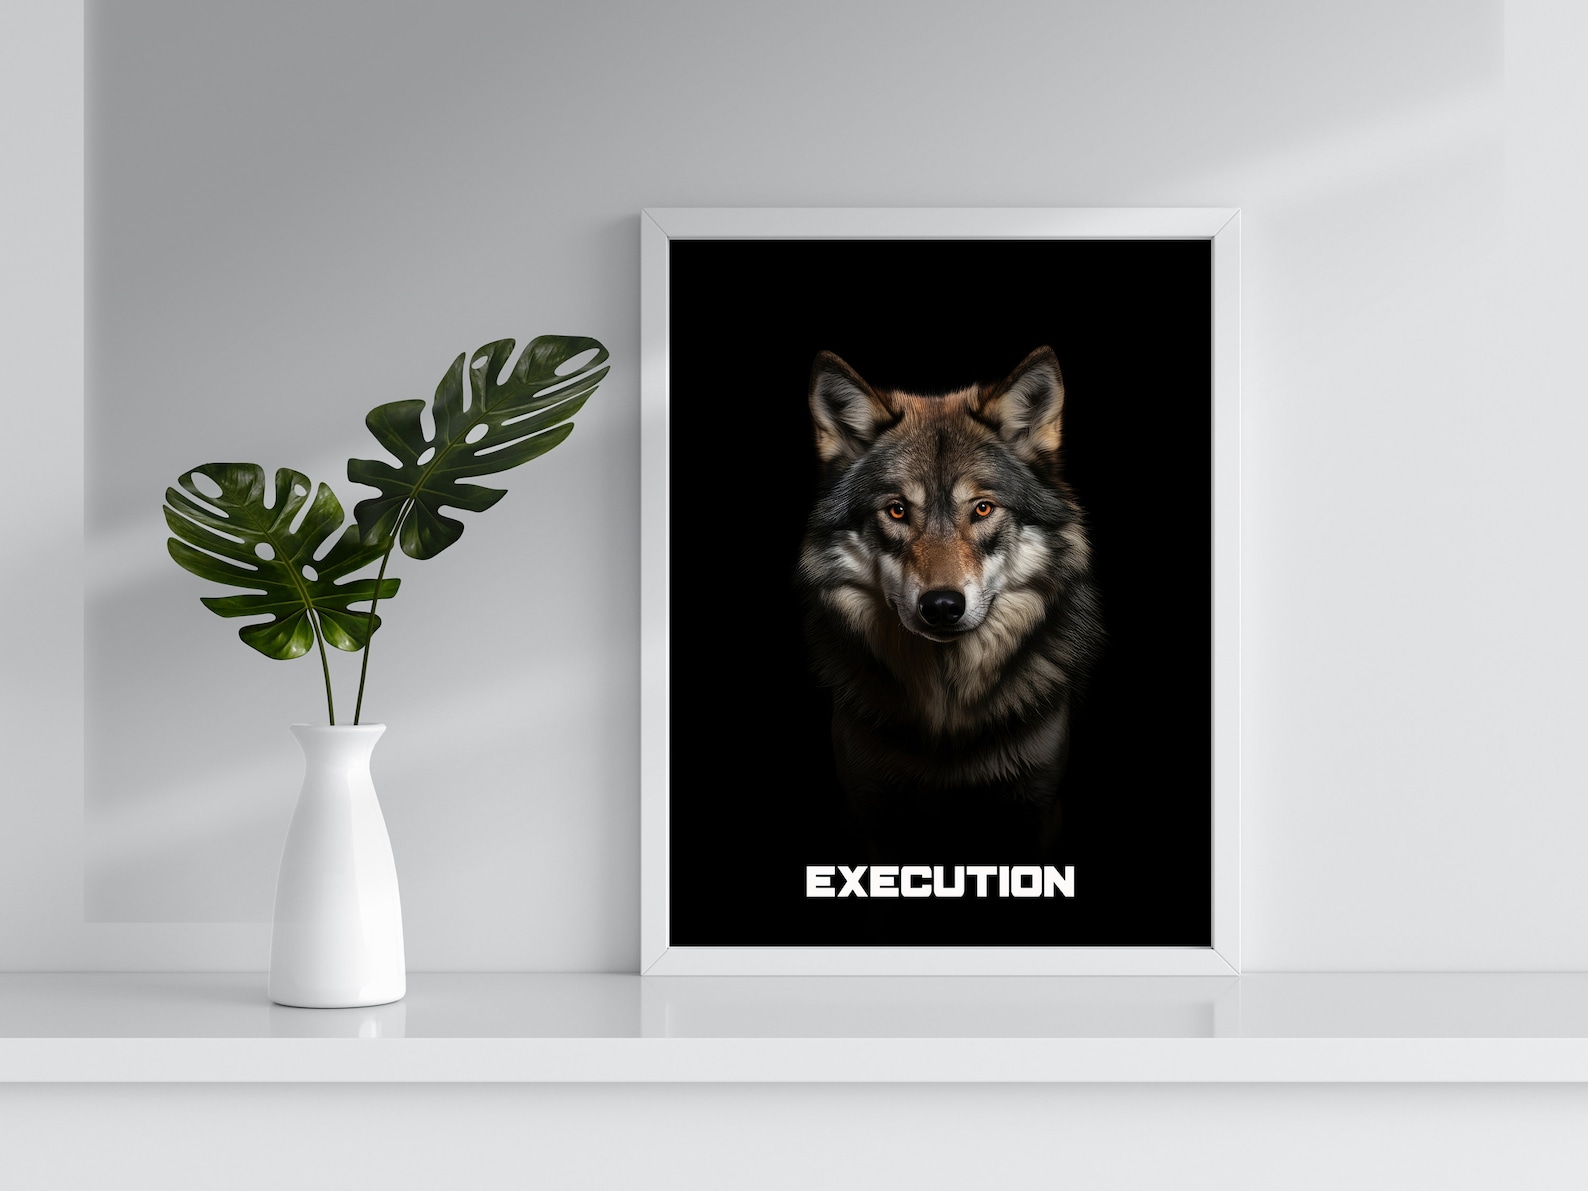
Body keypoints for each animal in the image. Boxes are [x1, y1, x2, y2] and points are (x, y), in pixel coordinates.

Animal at [796, 347, 1104, 855]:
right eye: (897, 510)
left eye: (982, 508)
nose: (941, 606)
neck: (946, 709)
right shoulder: (867, 804)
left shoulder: (1037, 804)